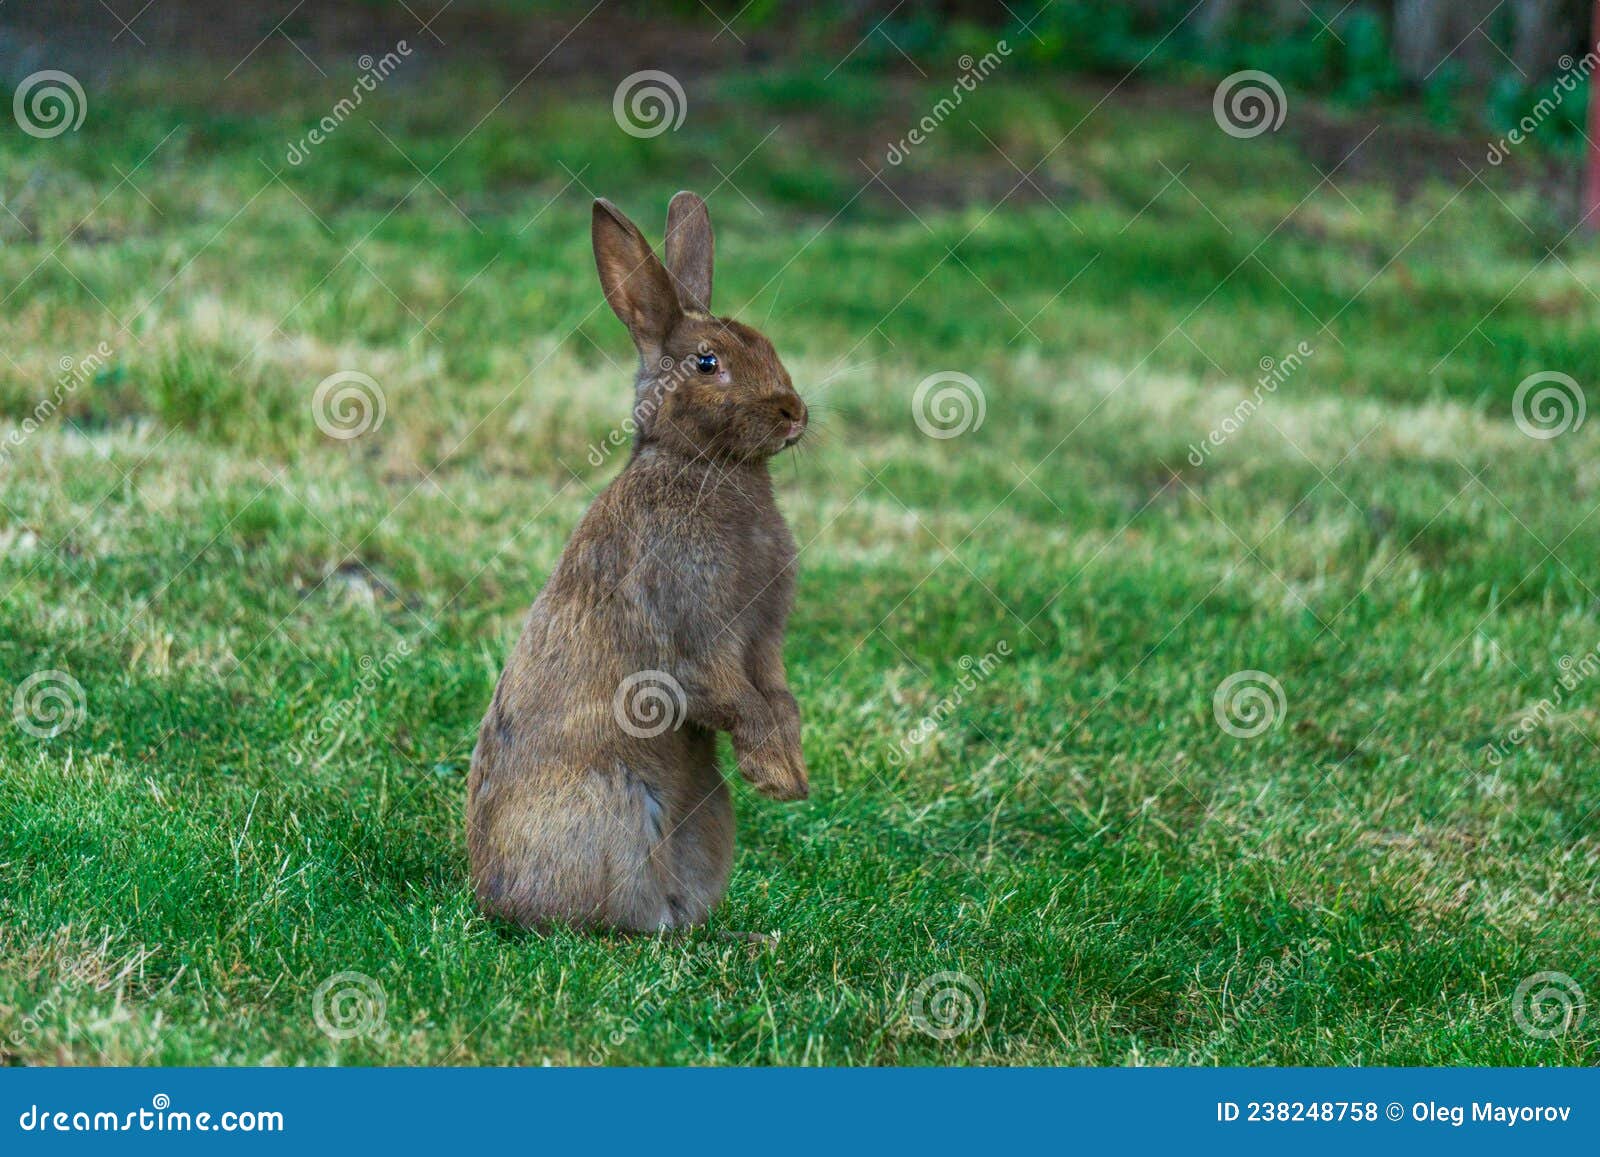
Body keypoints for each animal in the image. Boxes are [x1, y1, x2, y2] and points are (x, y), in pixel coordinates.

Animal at [466, 191, 811, 933]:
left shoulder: (765, 639)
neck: (701, 464)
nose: (794, 413)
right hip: (609, 812)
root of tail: (490, 892)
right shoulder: (696, 629)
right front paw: (777, 778)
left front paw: (793, 775)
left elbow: (778, 695)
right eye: (707, 363)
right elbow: (735, 696)